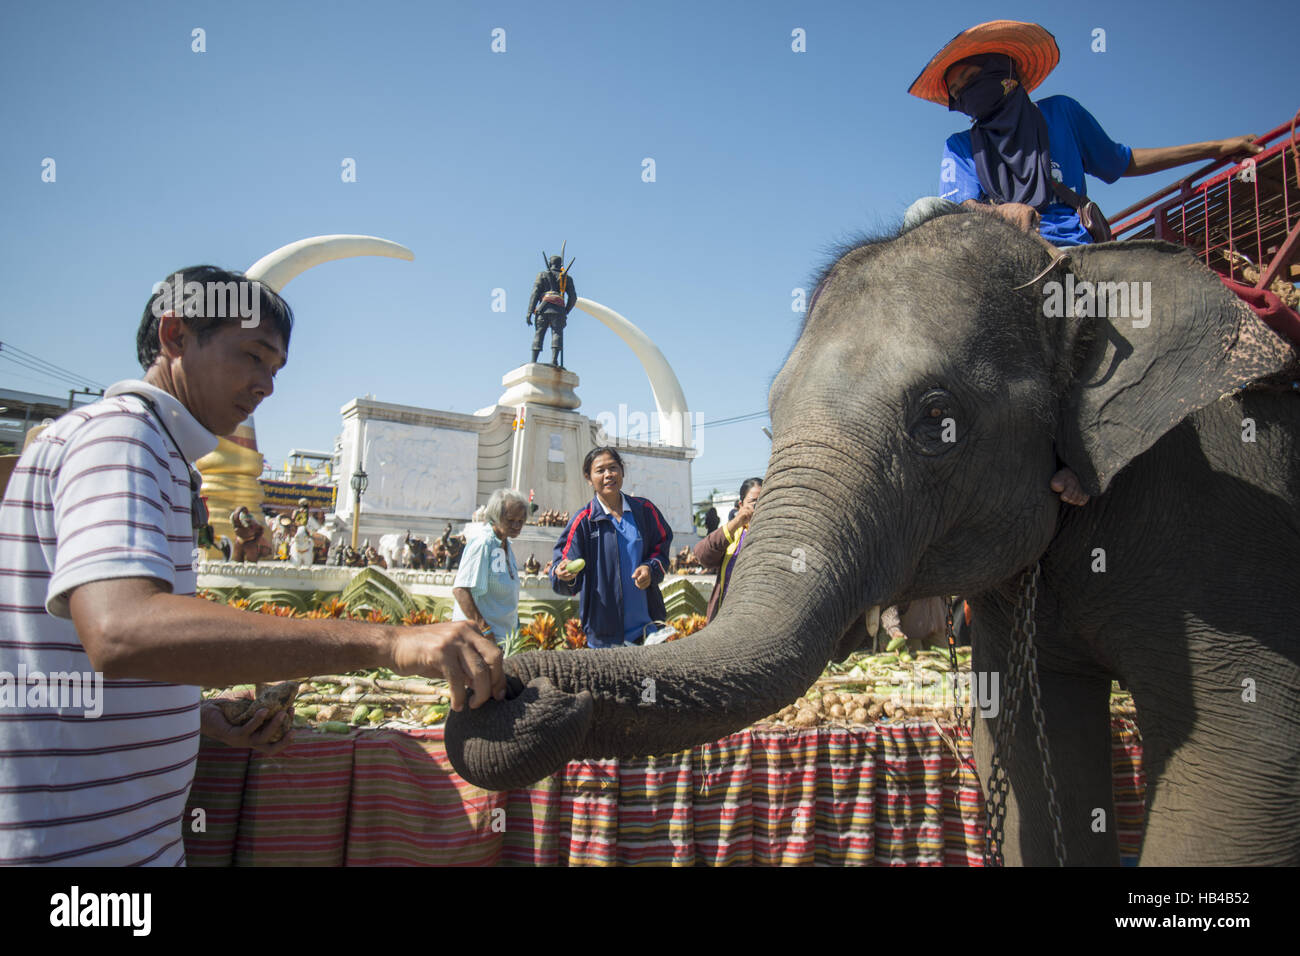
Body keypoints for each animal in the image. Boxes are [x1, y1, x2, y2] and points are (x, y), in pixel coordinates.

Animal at [445, 207, 1300, 866]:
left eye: (937, 419)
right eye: (770, 417)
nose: (508, 688)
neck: (1080, 267)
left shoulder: (1233, 513)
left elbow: (1240, 770)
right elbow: (1024, 747)